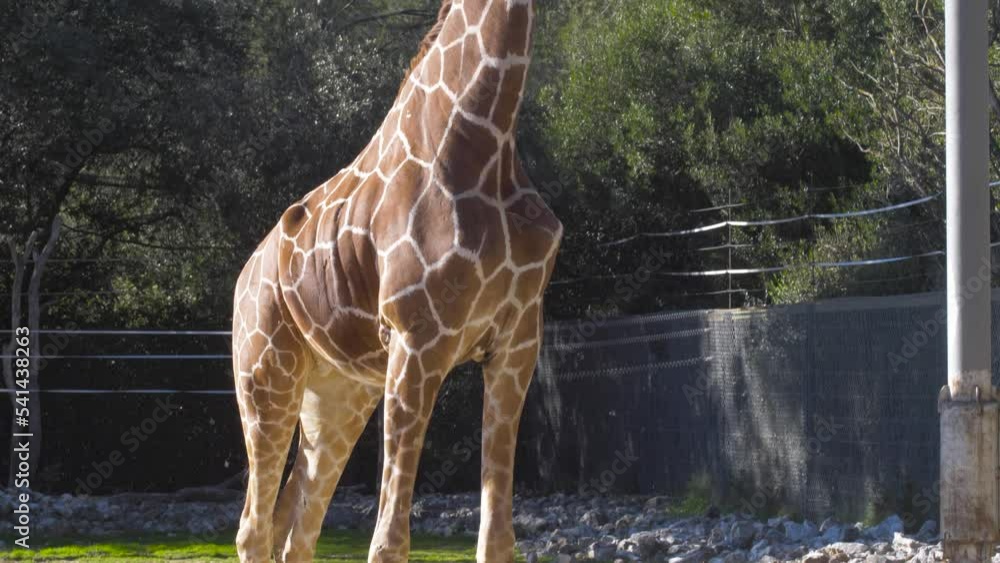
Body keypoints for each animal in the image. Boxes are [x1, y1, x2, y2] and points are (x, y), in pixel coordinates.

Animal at [231, 1, 561, 561]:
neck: (487, 135)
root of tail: (243, 277)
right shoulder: (416, 336)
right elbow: (388, 541)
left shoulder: (518, 338)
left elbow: (496, 539)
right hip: (264, 372)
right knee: (254, 527)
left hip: (339, 395)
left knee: (294, 527)